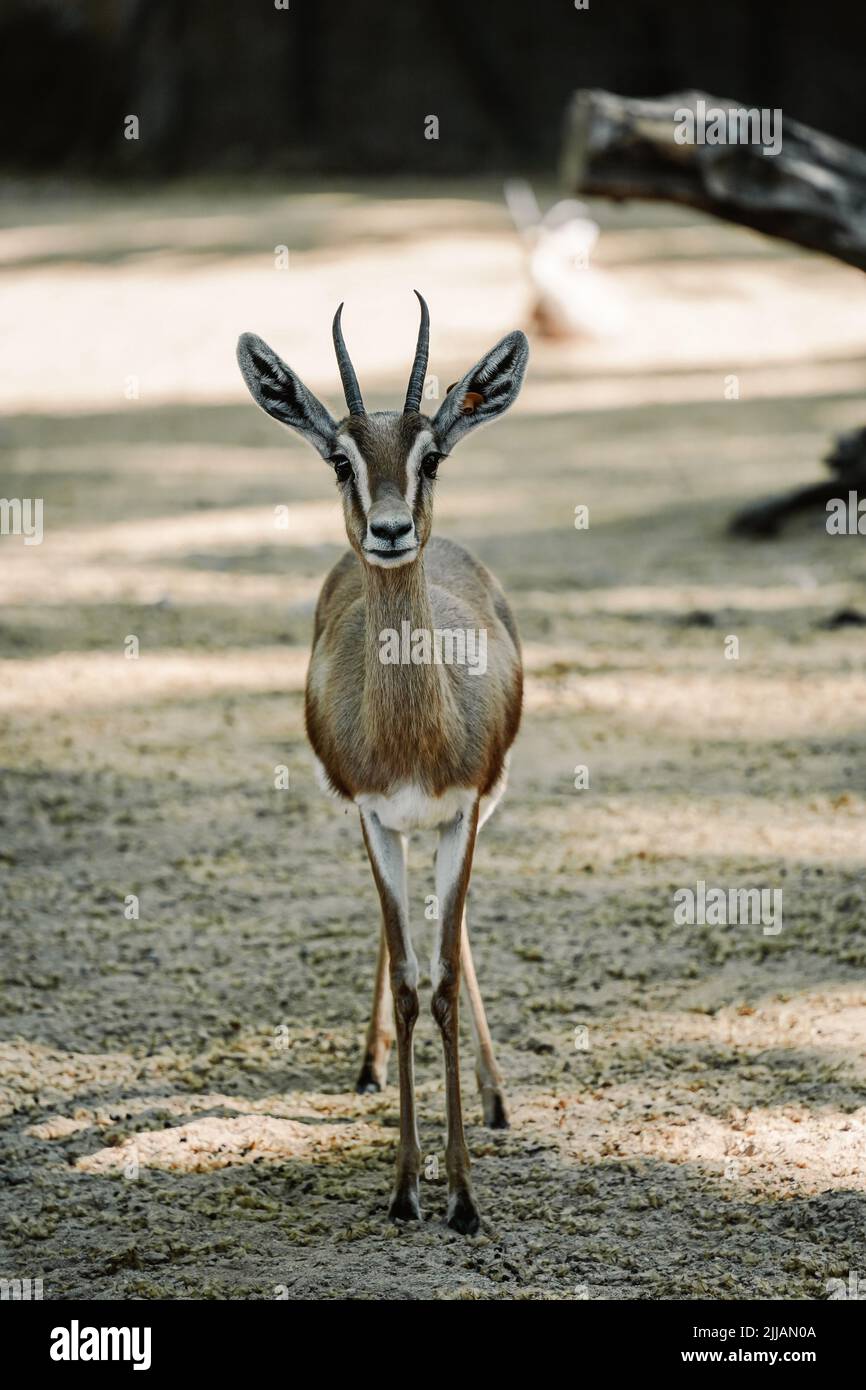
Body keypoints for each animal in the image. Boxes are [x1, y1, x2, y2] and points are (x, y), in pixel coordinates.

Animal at [237, 295, 528, 1233]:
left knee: (456, 944)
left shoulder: (463, 813)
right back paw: (370, 1067)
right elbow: (406, 983)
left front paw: (463, 1193)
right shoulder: (373, 816)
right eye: (340, 459)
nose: (391, 530)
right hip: (388, 832)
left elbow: (441, 984)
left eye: (431, 455)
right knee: (398, 943)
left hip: (463, 823)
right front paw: (405, 1185)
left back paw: (495, 1099)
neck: (411, 738)